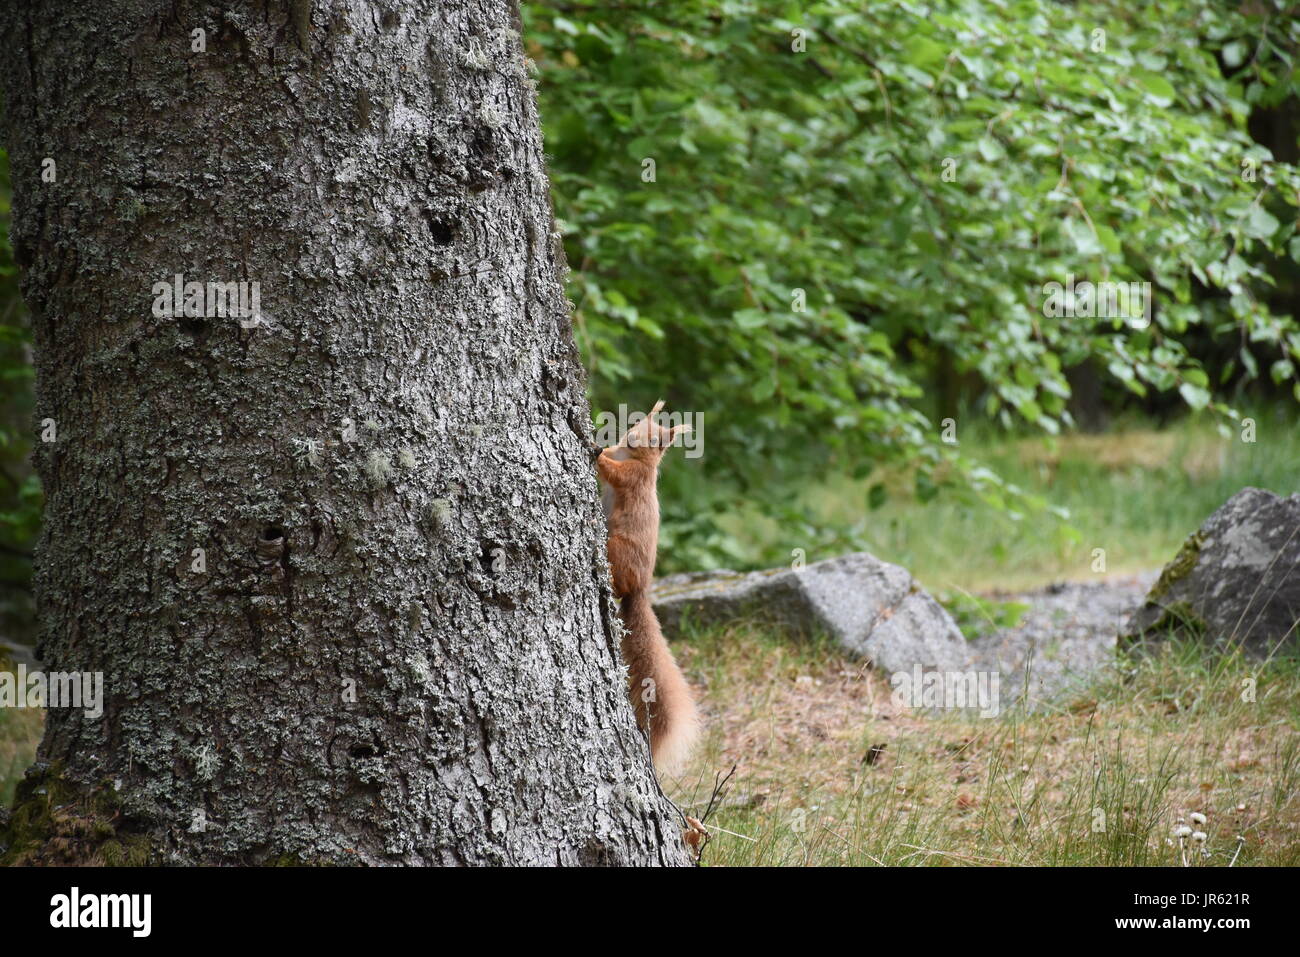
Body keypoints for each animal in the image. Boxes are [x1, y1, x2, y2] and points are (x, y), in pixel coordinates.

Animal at [596, 400, 699, 774]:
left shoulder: (635, 477)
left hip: (619, 550)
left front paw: (595, 452)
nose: (632, 438)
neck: (629, 454)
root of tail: (639, 589)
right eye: (636, 422)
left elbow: (616, 474)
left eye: (657, 440)